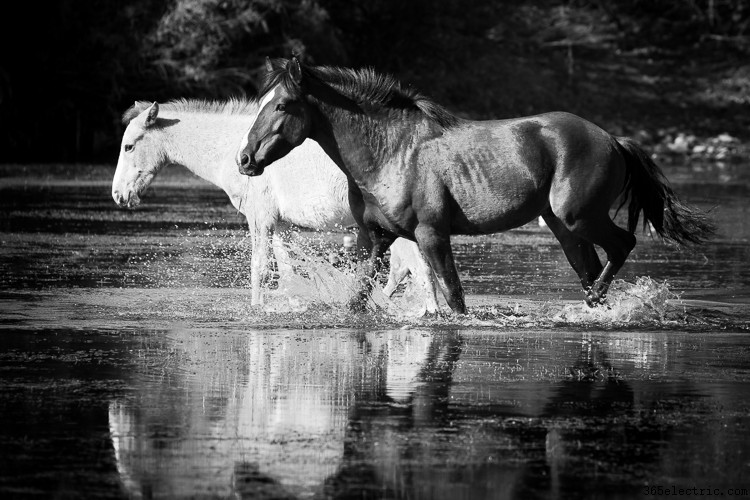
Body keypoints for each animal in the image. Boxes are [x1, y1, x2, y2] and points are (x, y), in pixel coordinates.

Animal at [112, 99, 440, 310]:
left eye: (129, 146)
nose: (118, 194)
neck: (233, 150)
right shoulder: (280, 225)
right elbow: (287, 274)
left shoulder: (260, 220)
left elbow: (259, 268)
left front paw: (257, 309)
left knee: (416, 270)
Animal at [238, 56, 712, 314]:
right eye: (263, 102)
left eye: (283, 105)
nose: (245, 160)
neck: (390, 152)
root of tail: (613, 140)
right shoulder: (376, 237)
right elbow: (358, 296)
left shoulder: (432, 235)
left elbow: (454, 298)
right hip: (564, 229)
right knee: (593, 269)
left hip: (579, 218)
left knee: (622, 246)